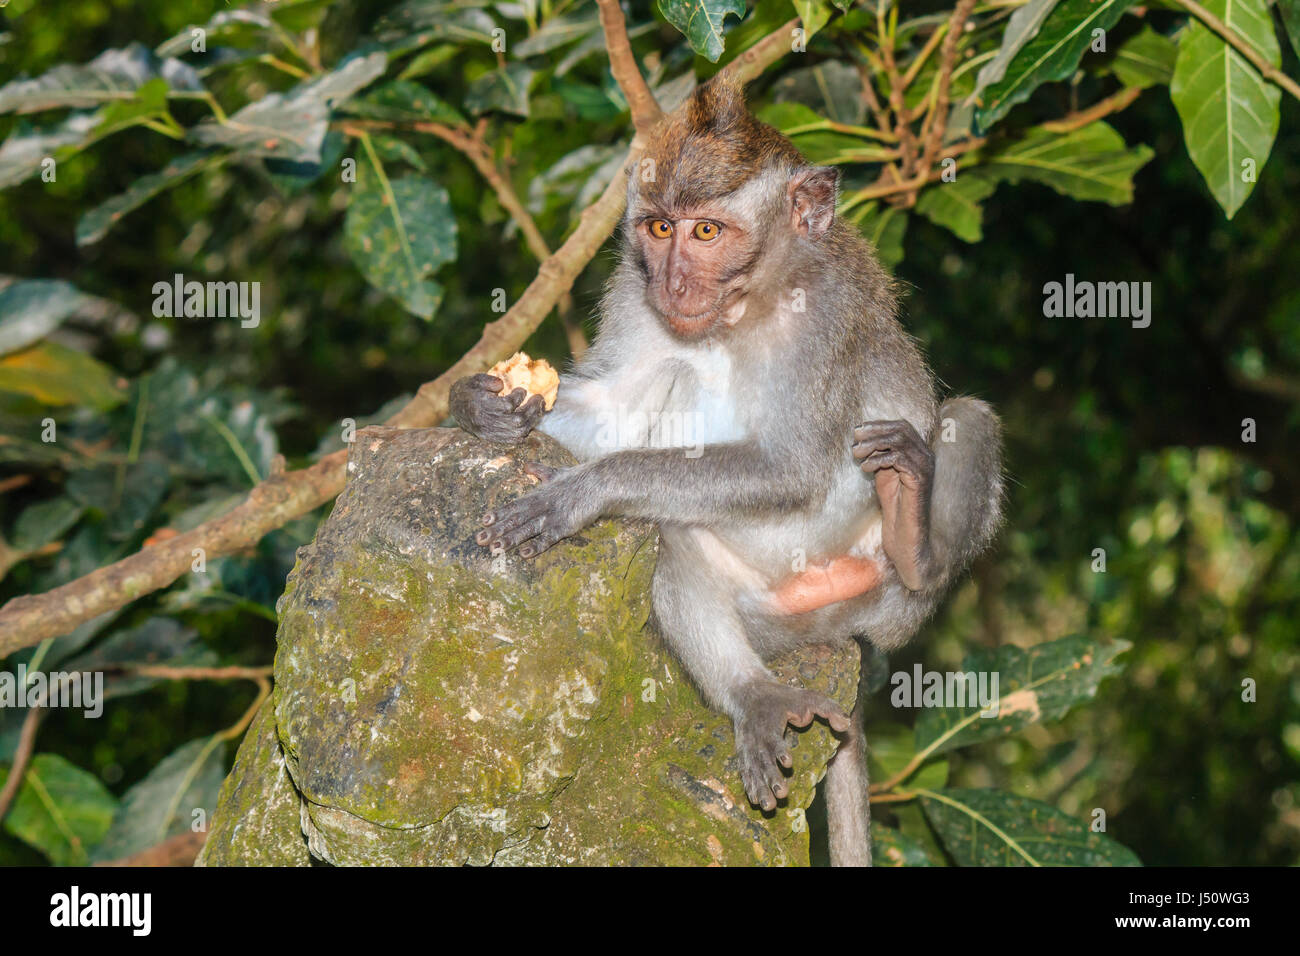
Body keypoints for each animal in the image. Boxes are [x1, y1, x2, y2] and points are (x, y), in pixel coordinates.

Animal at [449, 76, 1003, 867]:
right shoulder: (634, 293)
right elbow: (616, 414)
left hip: (885, 604)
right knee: (672, 523)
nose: (675, 281)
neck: (740, 310)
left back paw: (912, 534)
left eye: (706, 233)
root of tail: (829, 623)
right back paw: (752, 693)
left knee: (968, 422)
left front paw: (586, 490)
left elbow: (791, 466)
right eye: (659, 229)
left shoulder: (823, 314)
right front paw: (483, 405)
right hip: (766, 617)